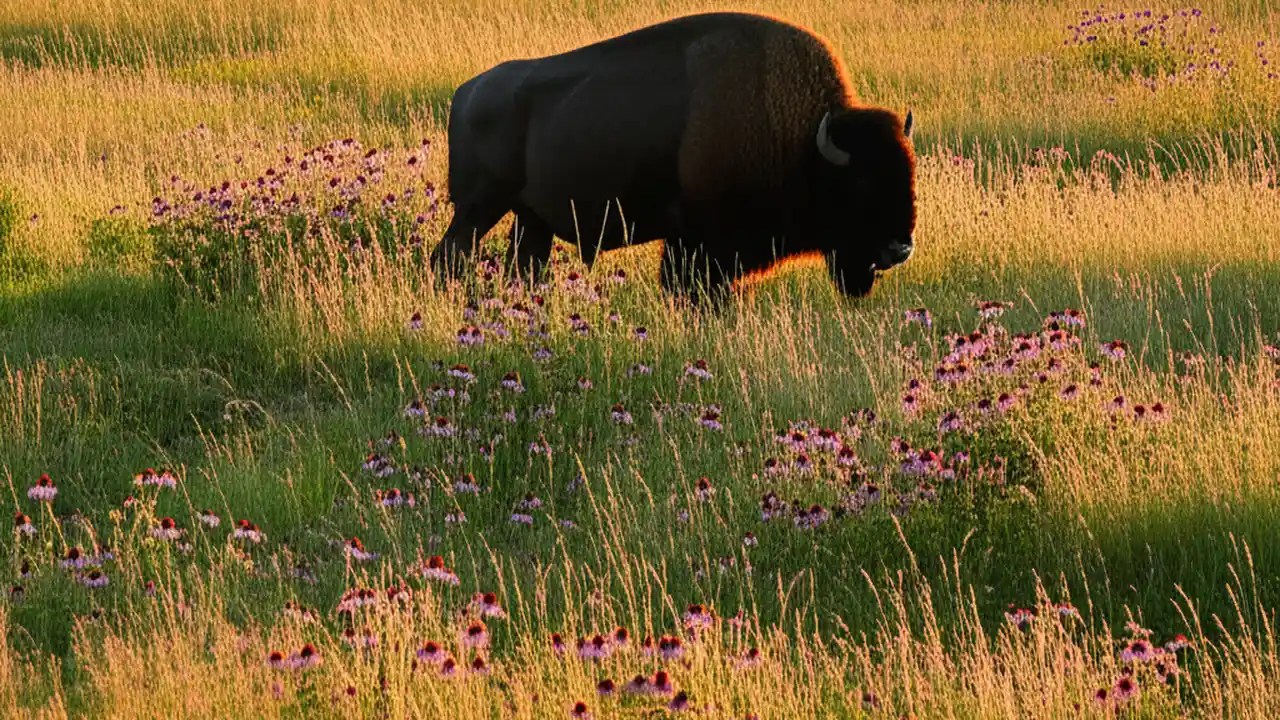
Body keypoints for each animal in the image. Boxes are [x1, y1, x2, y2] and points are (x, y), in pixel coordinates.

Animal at [432, 11, 917, 301]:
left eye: (908, 175)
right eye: (861, 182)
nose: (900, 247)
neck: (800, 141)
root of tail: (466, 91)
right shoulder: (696, 243)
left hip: (531, 219)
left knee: (524, 265)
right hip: (479, 208)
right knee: (451, 255)